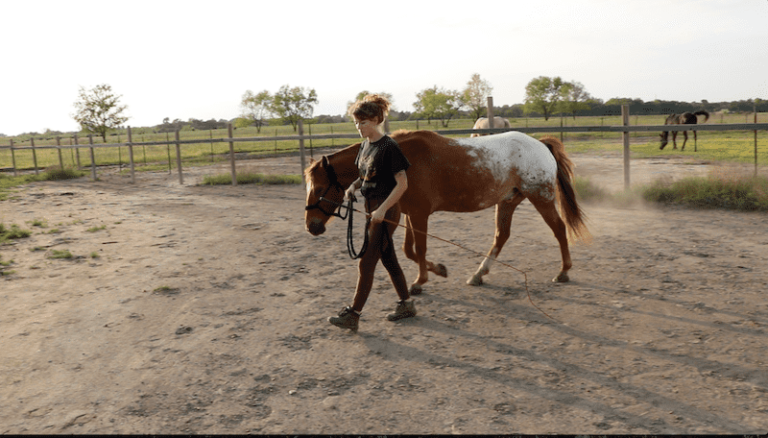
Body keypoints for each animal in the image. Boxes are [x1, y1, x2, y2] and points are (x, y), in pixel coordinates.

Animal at [304, 130, 590, 295]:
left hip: (540, 197)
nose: (311, 226)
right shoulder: (409, 214)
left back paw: (564, 271)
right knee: (501, 236)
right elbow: (410, 250)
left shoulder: (419, 214)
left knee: (559, 229)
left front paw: (420, 282)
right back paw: (478, 274)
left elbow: (419, 249)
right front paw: (438, 270)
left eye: (318, 187)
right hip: (508, 201)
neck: (399, 159)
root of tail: (541, 145)